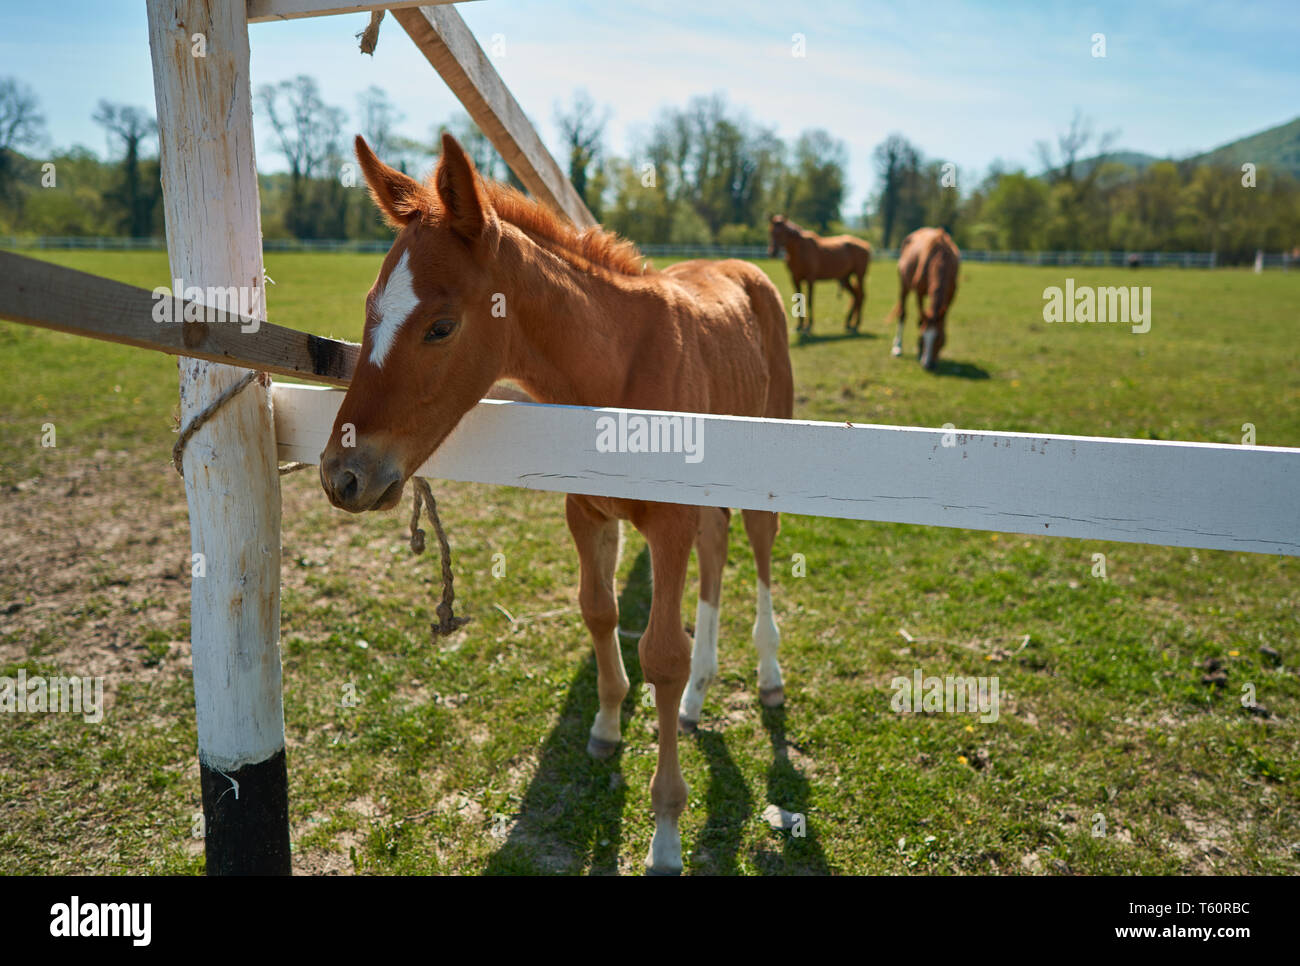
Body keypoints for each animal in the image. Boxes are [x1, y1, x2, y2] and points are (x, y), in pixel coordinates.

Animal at [319, 133, 795, 876]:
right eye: (370, 308)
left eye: (441, 326)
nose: (342, 475)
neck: (616, 378)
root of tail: (749, 269)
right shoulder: (586, 509)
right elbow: (598, 611)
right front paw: (606, 726)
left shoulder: (669, 522)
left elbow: (662, 652)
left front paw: (665, 836)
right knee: (717, 553)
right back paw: (698, 696)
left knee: (762, 542)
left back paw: (767, 676)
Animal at [889, 227, 960, 371]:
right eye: (922, 337)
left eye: (940, 339)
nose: (928, 365)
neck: (940, 258)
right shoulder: (919, 292)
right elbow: (920, 319)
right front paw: (919, 352)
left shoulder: (951, 295)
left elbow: (942, 320)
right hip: (904, 285)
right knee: (902, 313)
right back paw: (897, 347)